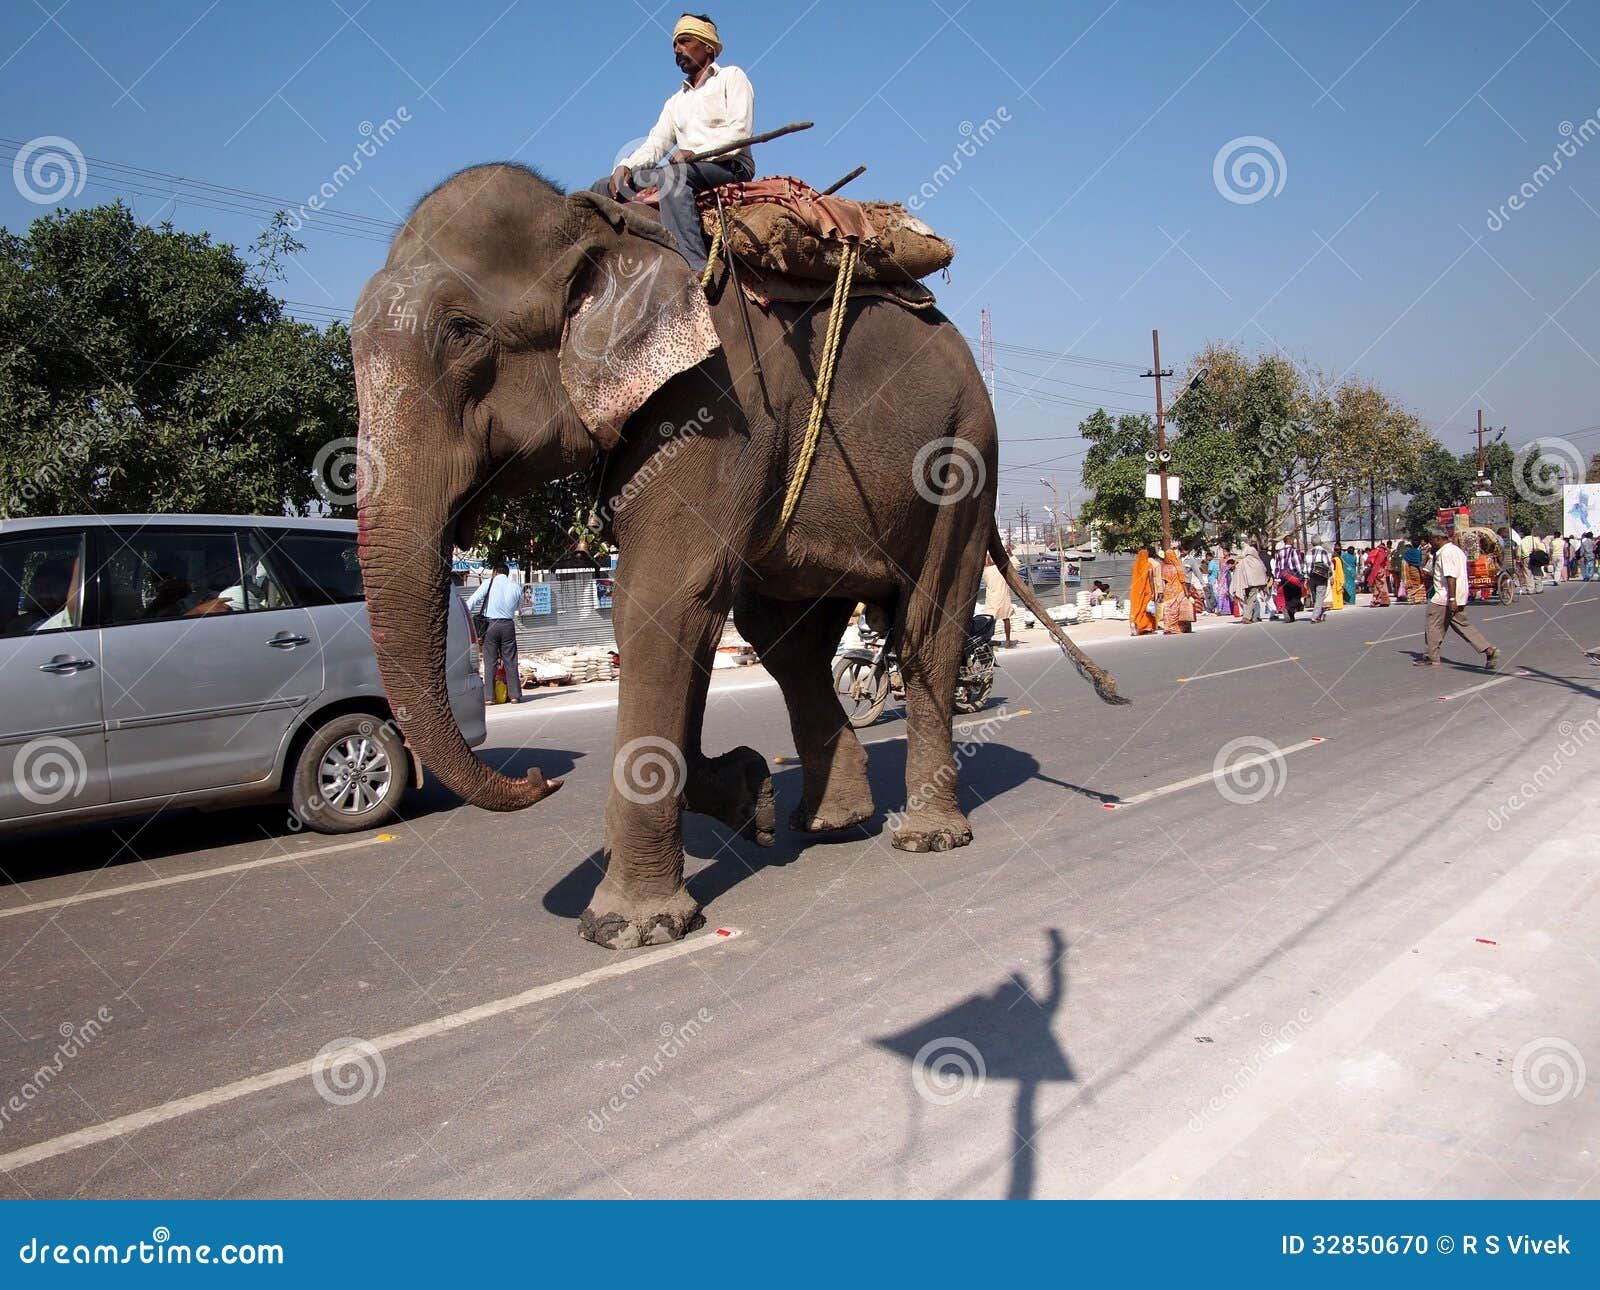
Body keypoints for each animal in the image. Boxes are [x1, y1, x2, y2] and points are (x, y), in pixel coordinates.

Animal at [351, 162, 1127, 950]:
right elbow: (685, 612)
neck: (597, 224)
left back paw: (928, 835)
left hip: (963, 452)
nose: (544, 782)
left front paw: (628, 927)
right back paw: (830, 821)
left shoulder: (715, 403)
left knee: (926, 630)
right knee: (783, 635)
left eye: (461, 336)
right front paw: (751, 798)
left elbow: (662, 600)